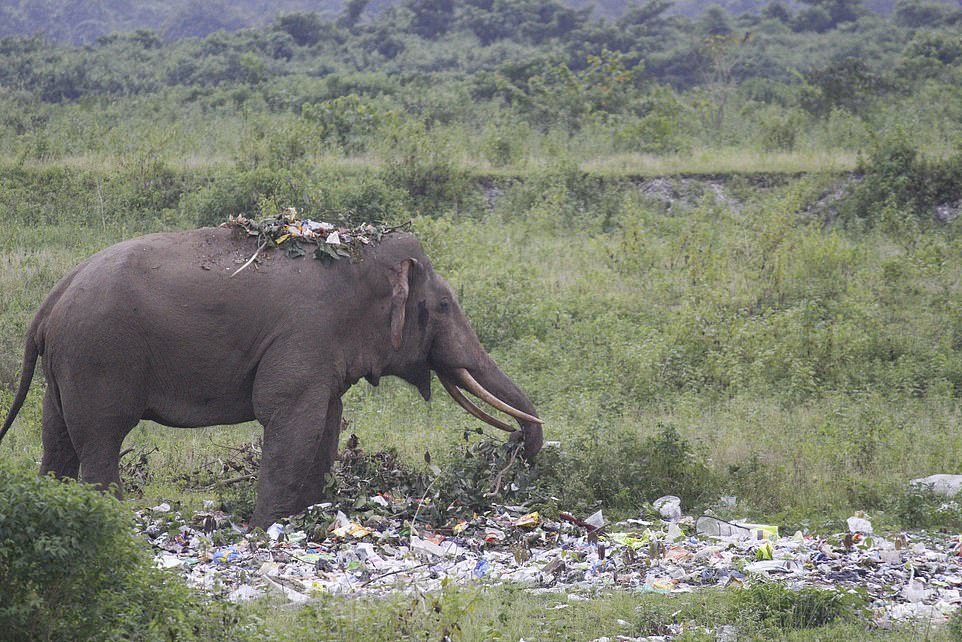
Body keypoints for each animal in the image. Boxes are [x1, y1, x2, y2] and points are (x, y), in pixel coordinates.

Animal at [0, 227, 543, 527]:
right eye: (444, 307)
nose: (518, 448)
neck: (357, 255)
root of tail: (50, 301)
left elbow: (327, 422)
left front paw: (308, 519)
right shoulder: (306, 331)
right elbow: (288, 417)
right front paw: (266, 531)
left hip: (66, 366)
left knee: (58, 437)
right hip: (99, 357)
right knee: (100, 437)